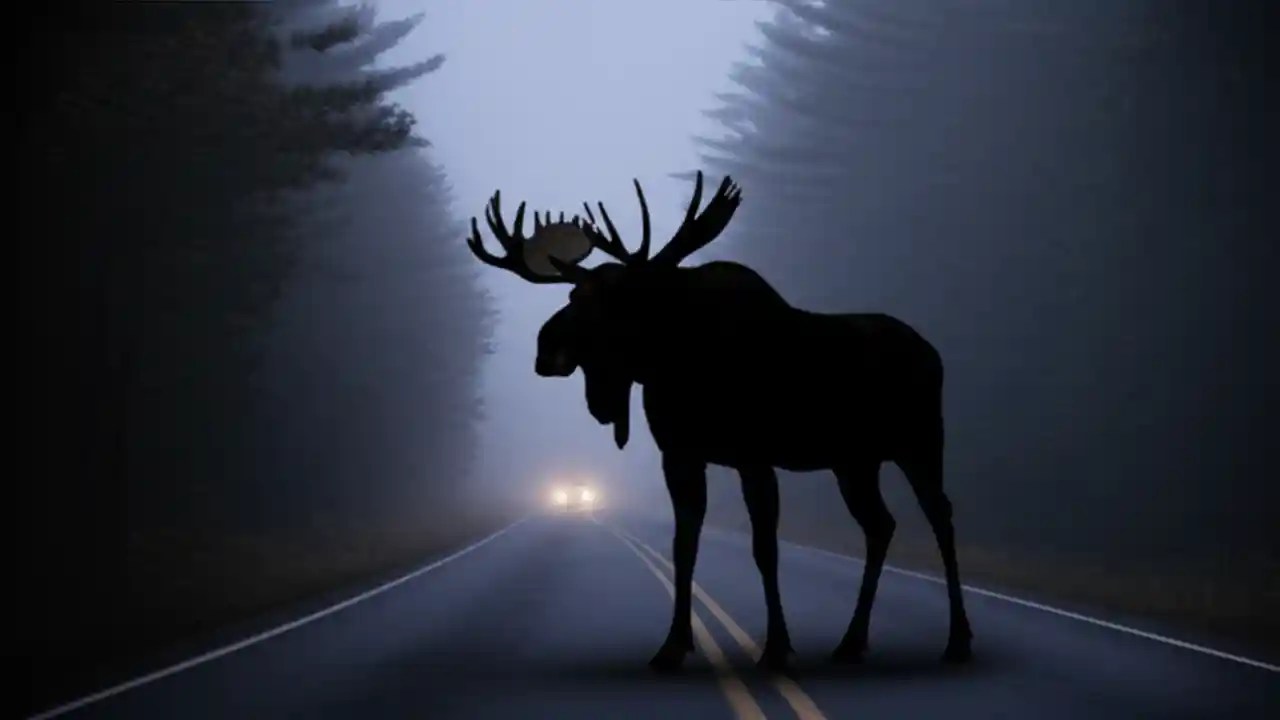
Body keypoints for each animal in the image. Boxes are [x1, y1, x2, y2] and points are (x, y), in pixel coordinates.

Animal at [464, 171, 974, 672]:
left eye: (614, 299)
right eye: (572, 292)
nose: (545, 347)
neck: (670, 359)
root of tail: (934, 354)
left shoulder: (754, 457)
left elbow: (765, 549)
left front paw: (777, 648)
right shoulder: (680, 455)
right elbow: (683, 547)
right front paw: (672, 645)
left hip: (921, 443)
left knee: (941, 516)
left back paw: (958, 641)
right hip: (854, 463)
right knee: (880, 525)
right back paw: (851, 641)